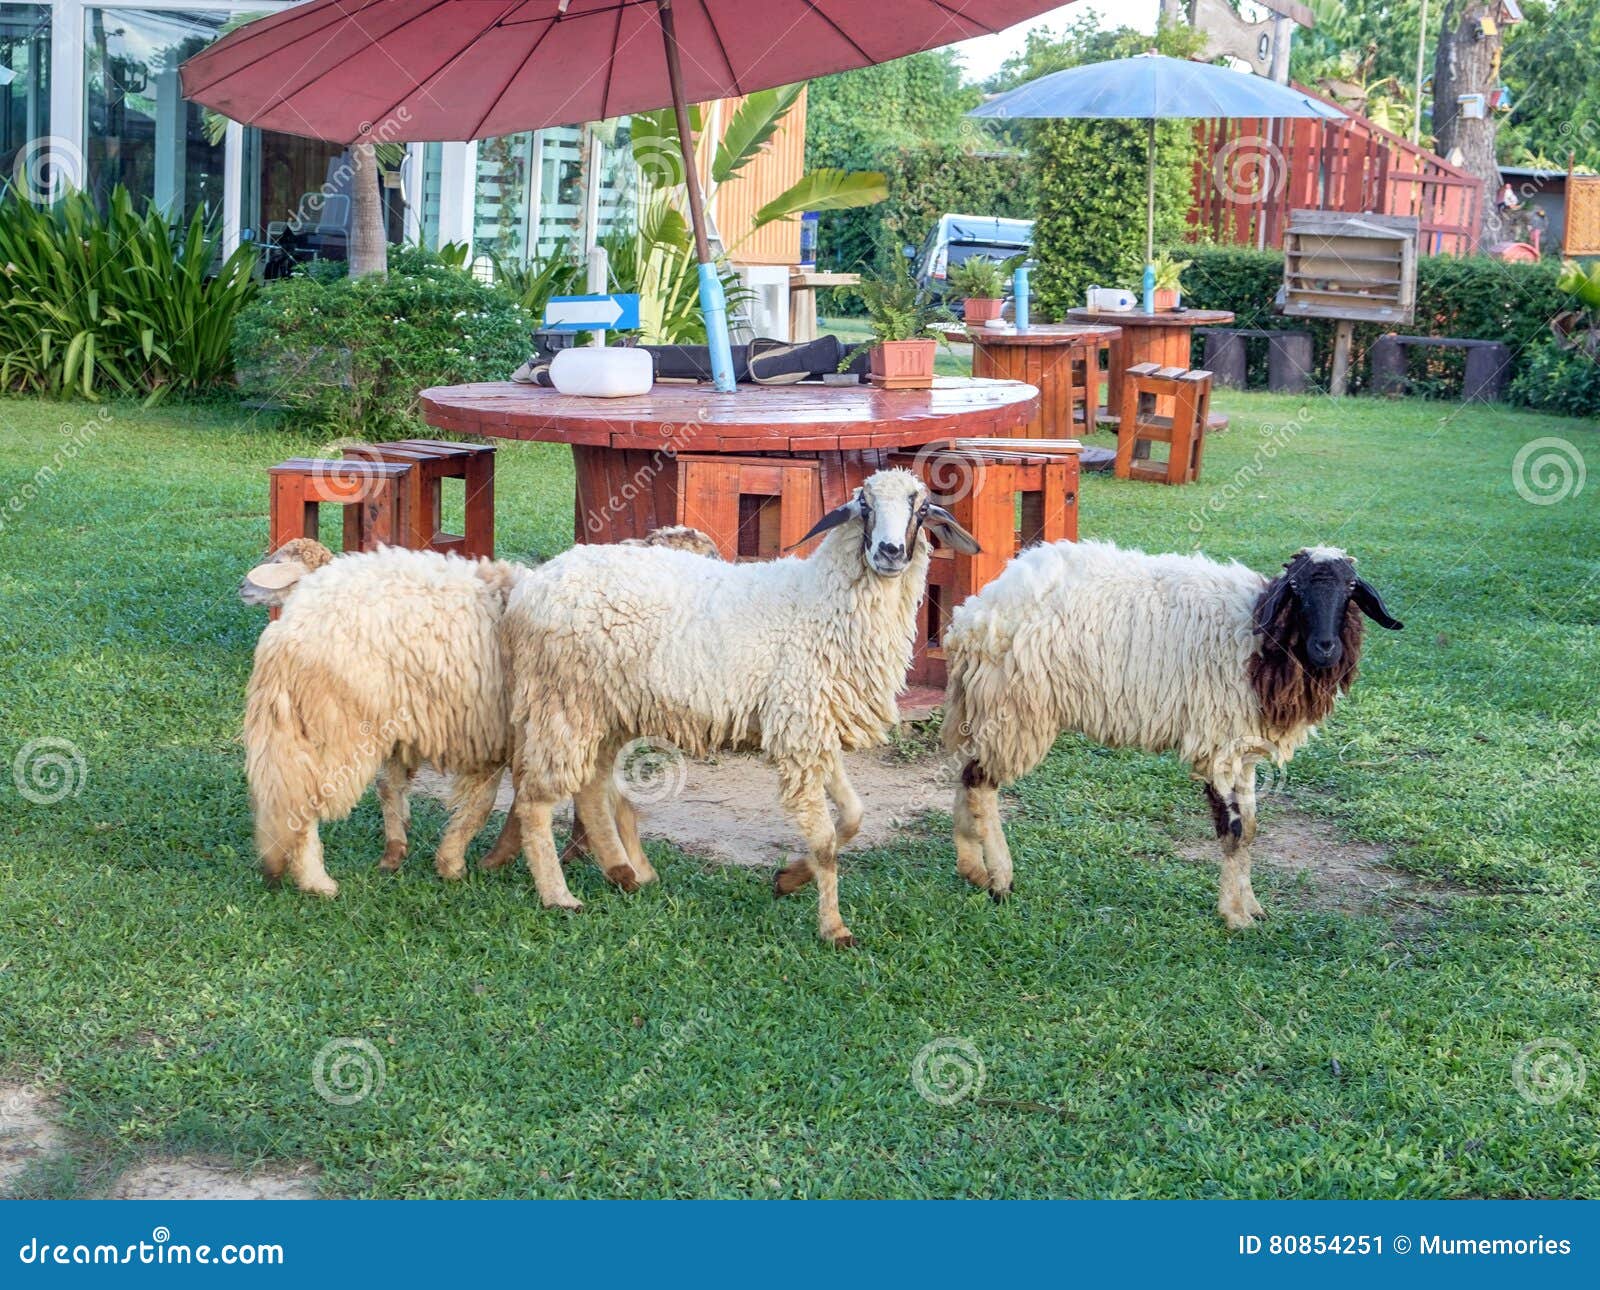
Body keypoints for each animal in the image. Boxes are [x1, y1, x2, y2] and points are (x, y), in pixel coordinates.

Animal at [501, 469, 980, 945]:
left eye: (922, 509)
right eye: (864, 505)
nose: (890, 552)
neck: (819, 603)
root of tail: (535, 581)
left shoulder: (815, 726)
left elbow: (854, 817)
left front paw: (788, 879)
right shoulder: (800, 728)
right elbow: (825, 841)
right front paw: (834, 927)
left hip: (604, 706)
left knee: (592, 786)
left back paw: (628, 873)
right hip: (565, 698)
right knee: (537, 797)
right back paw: (559, 896)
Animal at [941, 542, 1403, 928]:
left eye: (1350, 589)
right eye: (1296, 589)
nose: (1326, 647)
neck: (1260, 637)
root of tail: (972, 617)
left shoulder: (1243, 749)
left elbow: (1251, 829)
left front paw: (1252, 906)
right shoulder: (1219, 744)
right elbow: (1234, 831)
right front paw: (1234, 916)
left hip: (984, 712)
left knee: (964, 775)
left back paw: (973, 868)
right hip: (1016, 714)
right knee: (981, 783)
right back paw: (1001, 880)